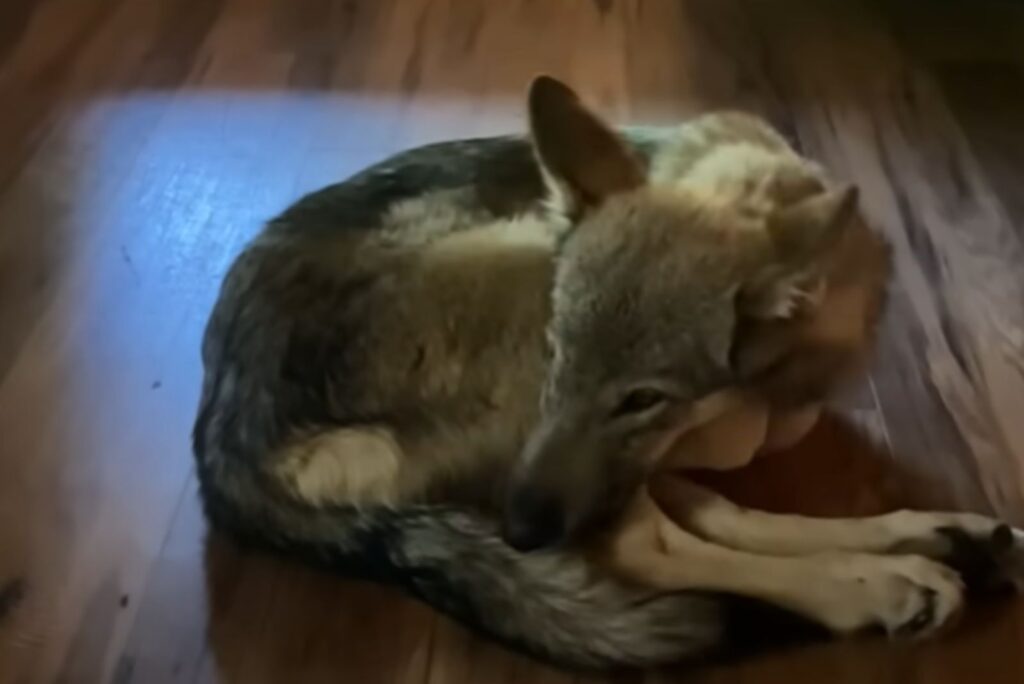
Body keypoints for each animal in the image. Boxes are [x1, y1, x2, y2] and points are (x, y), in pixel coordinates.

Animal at [193, 75, 1021, 669]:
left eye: (642, 397)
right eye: (560, 350)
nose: (523, 532)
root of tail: (223, 439)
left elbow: (723, 502)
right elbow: (686, 517)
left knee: (701, 522)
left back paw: (936, 541)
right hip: (528, 268)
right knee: (647, 548)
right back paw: (873, 584)